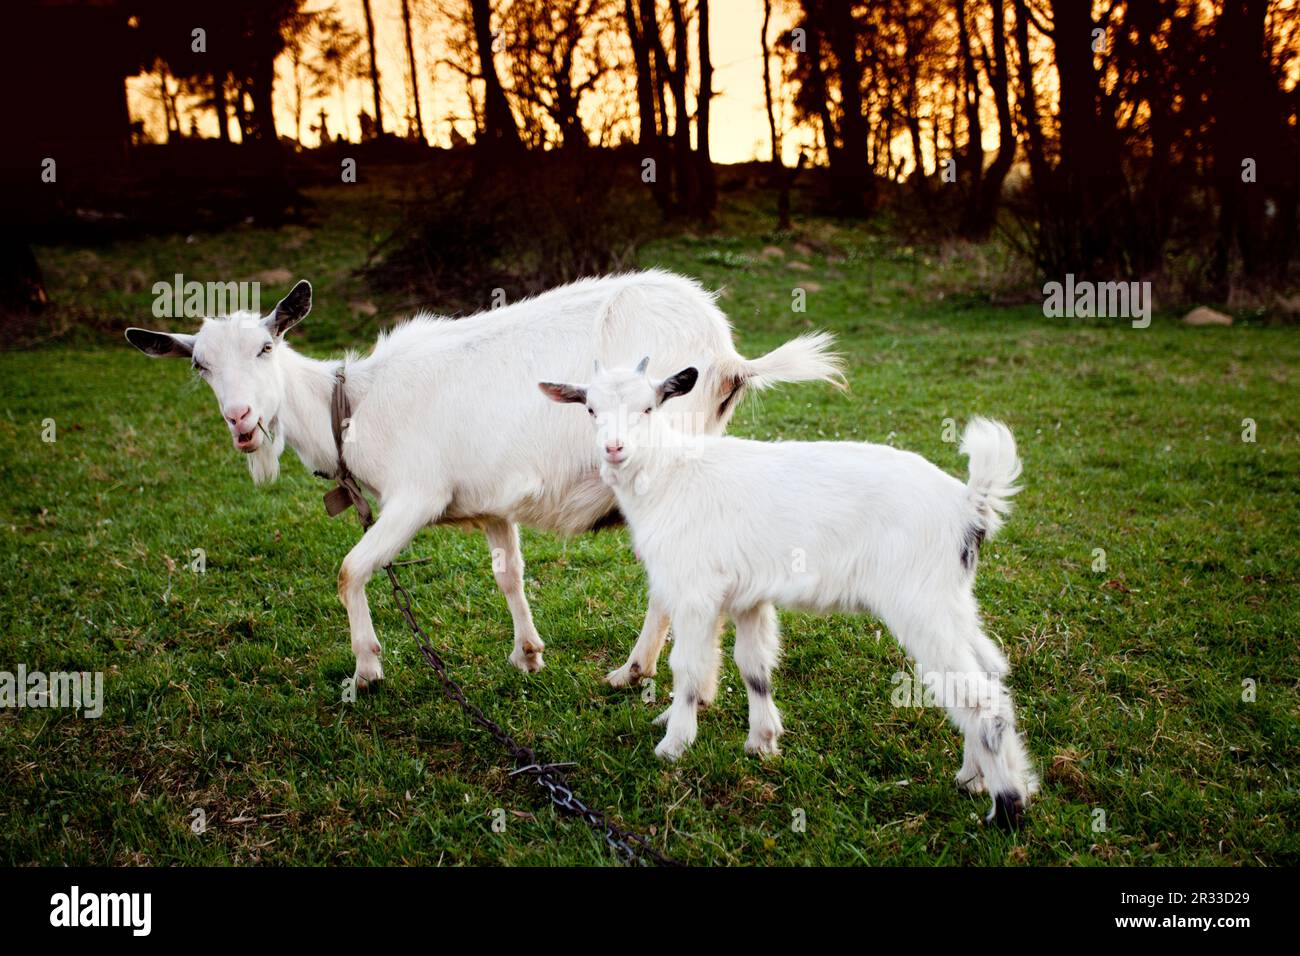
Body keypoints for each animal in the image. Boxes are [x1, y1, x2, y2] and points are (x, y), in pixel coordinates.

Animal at [125, 272, 844, 690]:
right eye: (199, 365)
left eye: (266, 348)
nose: (241, 420)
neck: (349, 406)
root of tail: (727, 356)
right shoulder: (493, 501)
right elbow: (509, 575)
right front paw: (527, 654)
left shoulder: (417, 496)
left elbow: (350, 570)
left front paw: (367, 670)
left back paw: (632, 670)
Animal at [540, 361, 1038, 827]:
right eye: (591, 409)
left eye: (649, 407)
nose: (614, 449)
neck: (668, 476)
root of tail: (968, 506)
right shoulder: (746, 596)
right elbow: (753, 665)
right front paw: (762, 741)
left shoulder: (695, 590)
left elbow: (689, 667)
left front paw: (674, 744)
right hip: (953, 603)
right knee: (988, 674)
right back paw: (974, 778)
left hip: (921, 603)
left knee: (977, 697)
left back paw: (1006, 808)